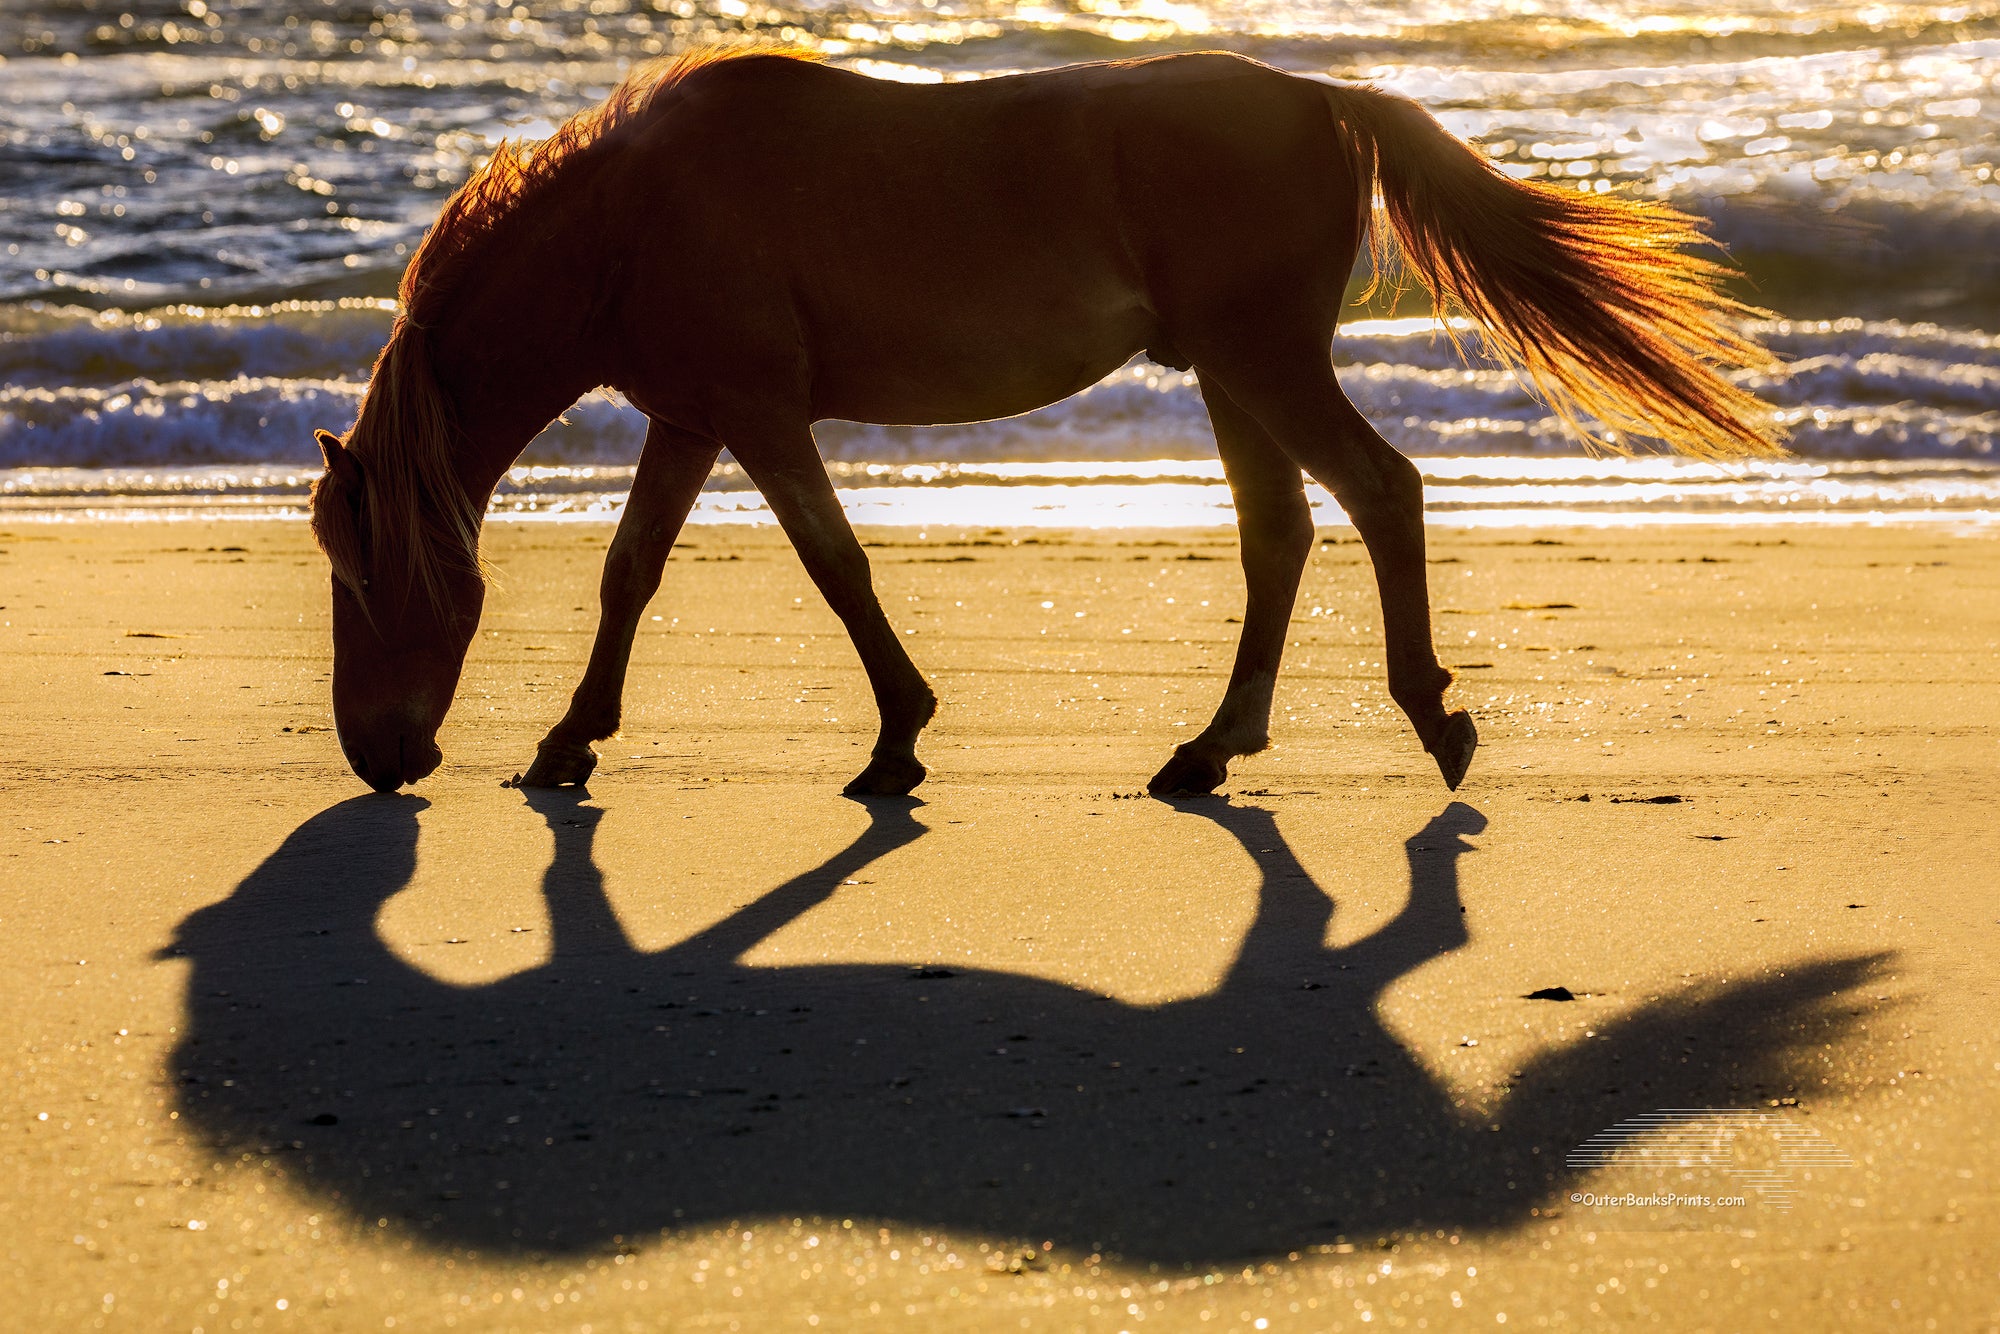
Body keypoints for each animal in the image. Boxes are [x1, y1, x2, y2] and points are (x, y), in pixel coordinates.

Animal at [308, 44, 1780, 797]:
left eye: (364, 572)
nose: (378, 754)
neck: (629, 221)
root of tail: (1324, 98)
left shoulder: (758, 416)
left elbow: (834, 567)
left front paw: (898, 733)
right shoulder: (695, 417)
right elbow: (630, 574)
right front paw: (571, 738)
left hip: (1263, 360)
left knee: (1379, 494)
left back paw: (1427, 717)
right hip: (1228, 372)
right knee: (1280, 535)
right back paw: (1209, 747)